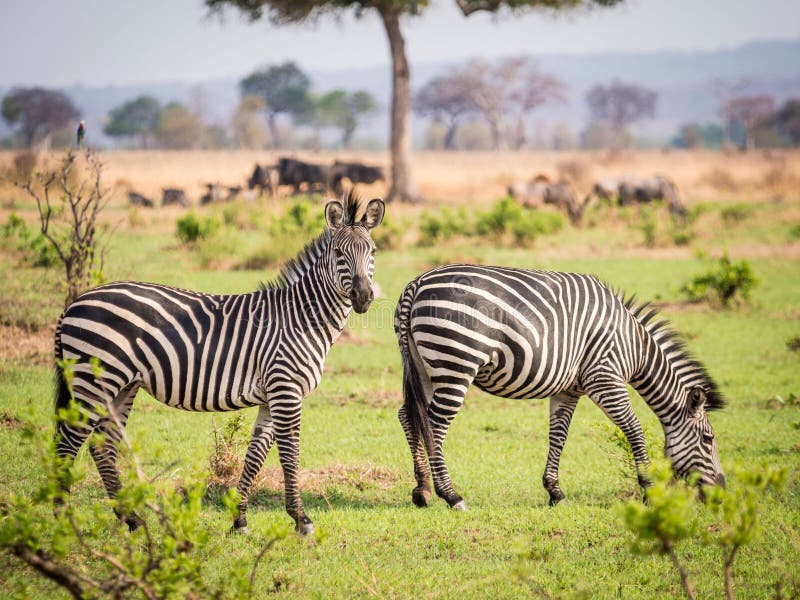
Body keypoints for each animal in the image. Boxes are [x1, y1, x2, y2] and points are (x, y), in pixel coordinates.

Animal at [53, 192, 385, 535]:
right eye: (338, 253)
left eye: (373, 251)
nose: (363, 297)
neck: (302, 318)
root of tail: (75, 302)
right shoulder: (286, 390)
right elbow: (290, 455)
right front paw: (301, 520)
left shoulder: (271, 396)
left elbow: (255, 455)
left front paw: (239, 520)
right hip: (93, 382)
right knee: (68, 442)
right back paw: (63, 519)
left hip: (121, 386)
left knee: (101, 446)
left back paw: (130, 518)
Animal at [394, 264, 725, 511]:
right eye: (708, 439)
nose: (721, 494)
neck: (635, 347)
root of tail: (416, 283)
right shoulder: (605, 378)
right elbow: (634, 430)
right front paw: (649, 490)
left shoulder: (569, 389)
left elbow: (559, 435)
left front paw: (555, 490)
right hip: (456, 363)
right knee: (434, 425)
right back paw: (451, 495)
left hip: (424, 366)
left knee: (409, 416)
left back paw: (422, 490)